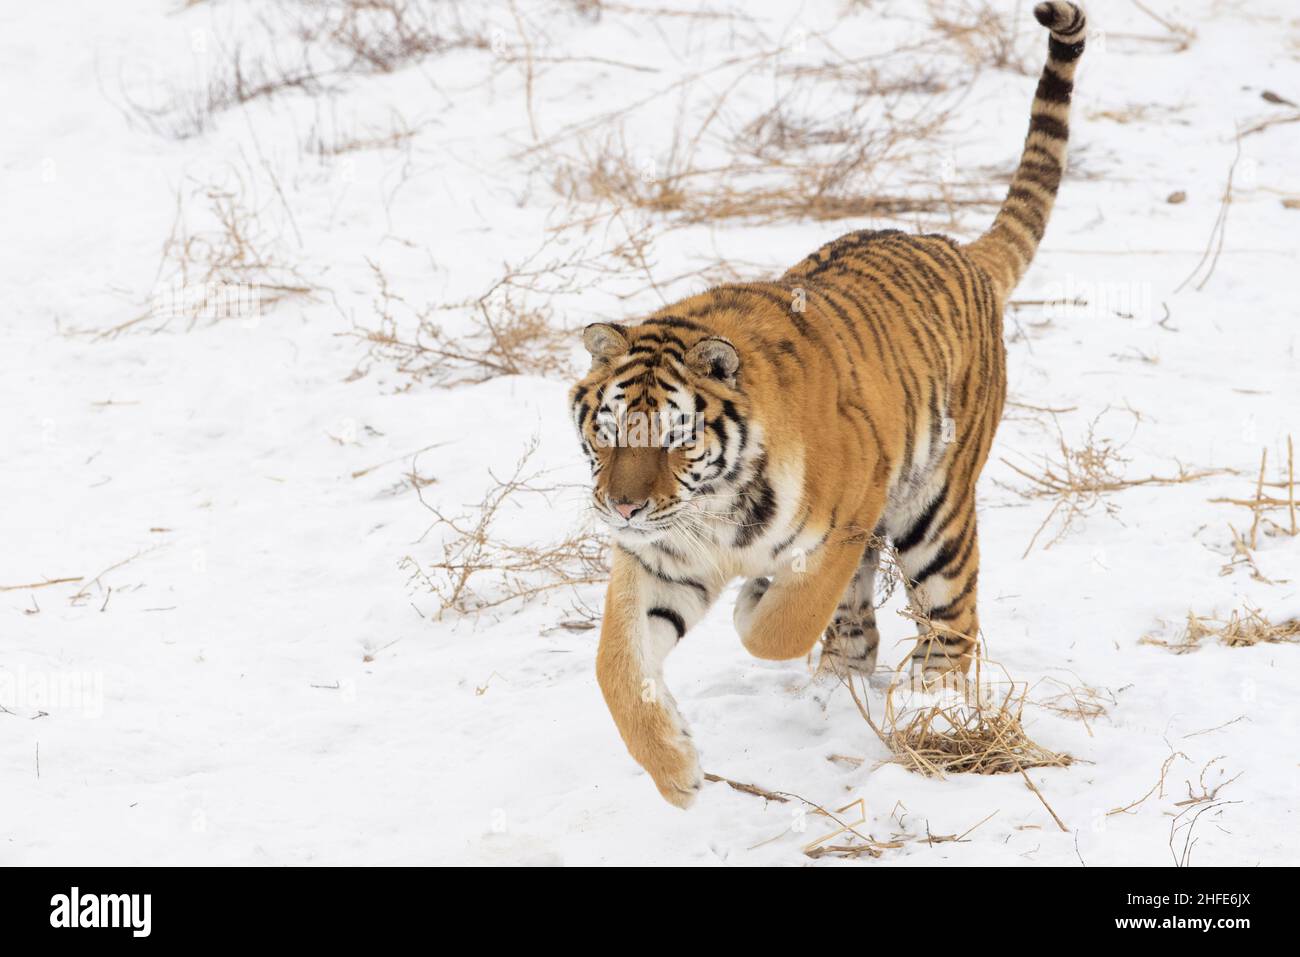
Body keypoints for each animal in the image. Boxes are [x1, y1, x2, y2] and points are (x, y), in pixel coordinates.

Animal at [568, 2, 1087, 807]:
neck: (709, 507)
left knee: (951, 614)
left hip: (933, 510)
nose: (620, 507)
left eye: (675, 440)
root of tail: (958, 248)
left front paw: (753, 602)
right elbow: (615, 665)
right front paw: (677, 771)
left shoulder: (848, 513)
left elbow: (782, 620)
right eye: (611, 431)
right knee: (858, 628)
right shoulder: (658, 558)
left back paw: (933, 706)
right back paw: (832, 692)